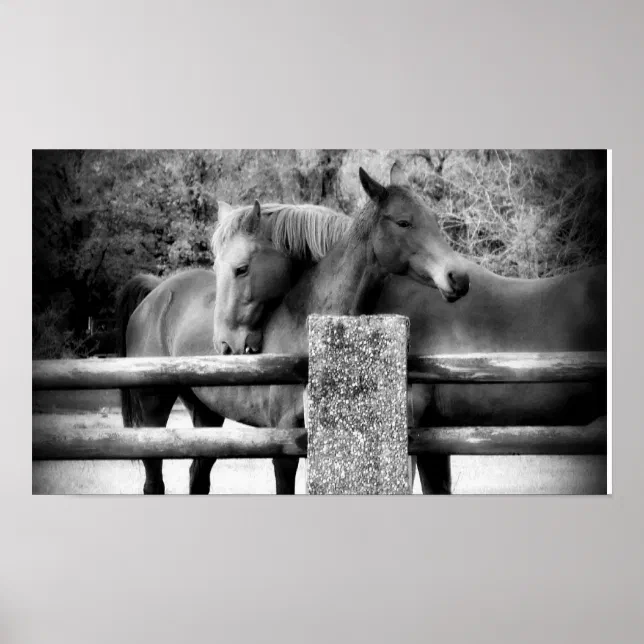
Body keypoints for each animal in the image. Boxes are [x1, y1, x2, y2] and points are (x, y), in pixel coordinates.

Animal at [118, 163, 471, 494]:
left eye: (433, 219)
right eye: (403, 222)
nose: (458, 277)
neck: (308, 330)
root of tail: (156, 293)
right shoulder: (285, 446)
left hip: (206, 414)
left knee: (198, 476)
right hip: (153, 409)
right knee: (154, 482)